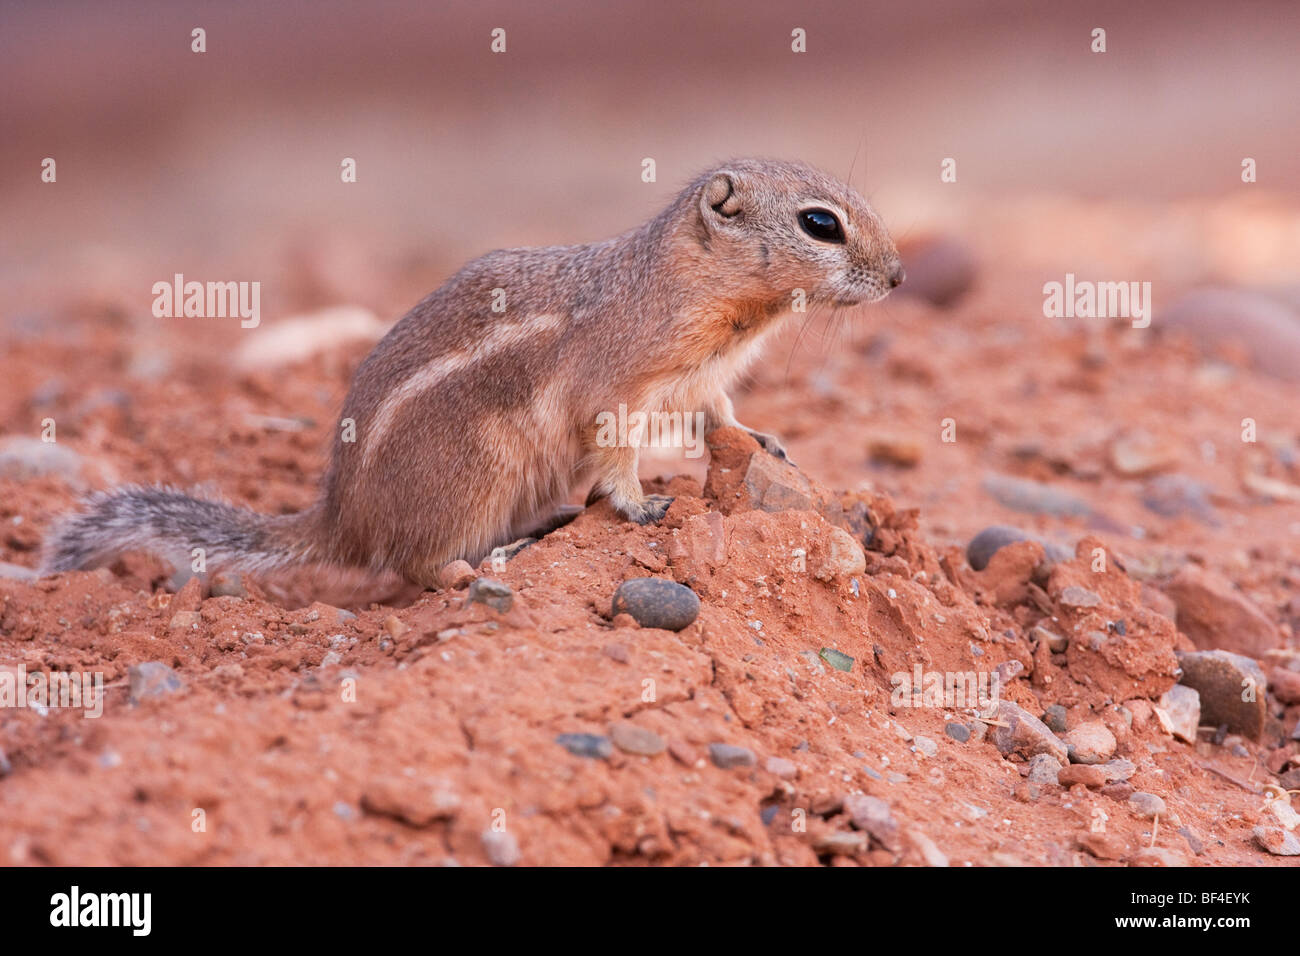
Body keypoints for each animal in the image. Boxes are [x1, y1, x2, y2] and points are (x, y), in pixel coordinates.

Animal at [44, 158, 903, 589]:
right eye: (820, 224)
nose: (898, 277)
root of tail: (339, 520)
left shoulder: (702, 379)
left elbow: (721, 416)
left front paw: (765, 440)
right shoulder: (618, 391)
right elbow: (616, 452)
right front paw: (639, 507)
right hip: (475, 473)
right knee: (416, 565)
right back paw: (489, 559)